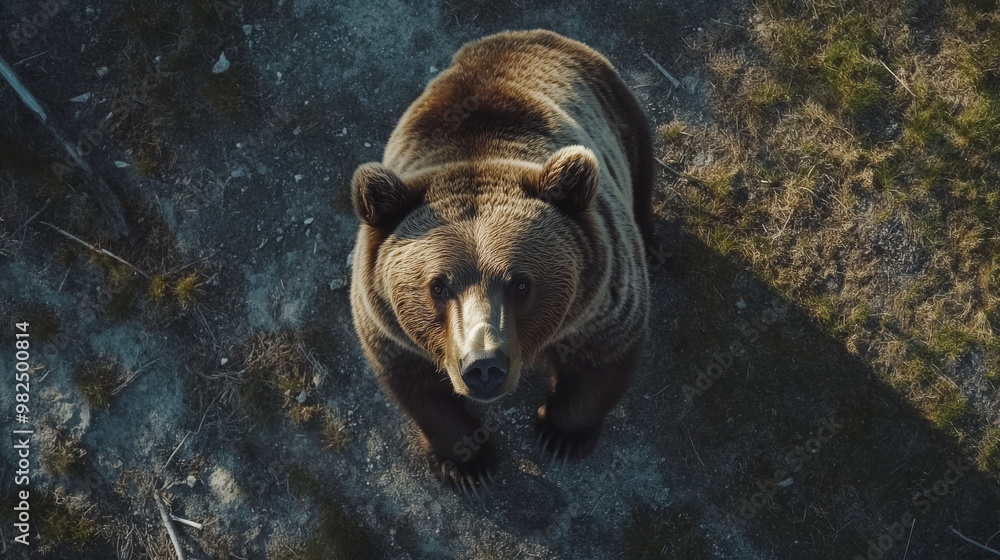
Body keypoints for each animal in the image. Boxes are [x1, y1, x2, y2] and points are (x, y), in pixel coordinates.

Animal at [349, 29, 653, 494]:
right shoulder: (388, 327)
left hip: (620, 117)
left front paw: (560, 435)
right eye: (438, 286)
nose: (484, 366)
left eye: (521, 283)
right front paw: (468, 465)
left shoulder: (601, 297)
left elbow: (602, 361)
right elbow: (419, 391)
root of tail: (524, 35)